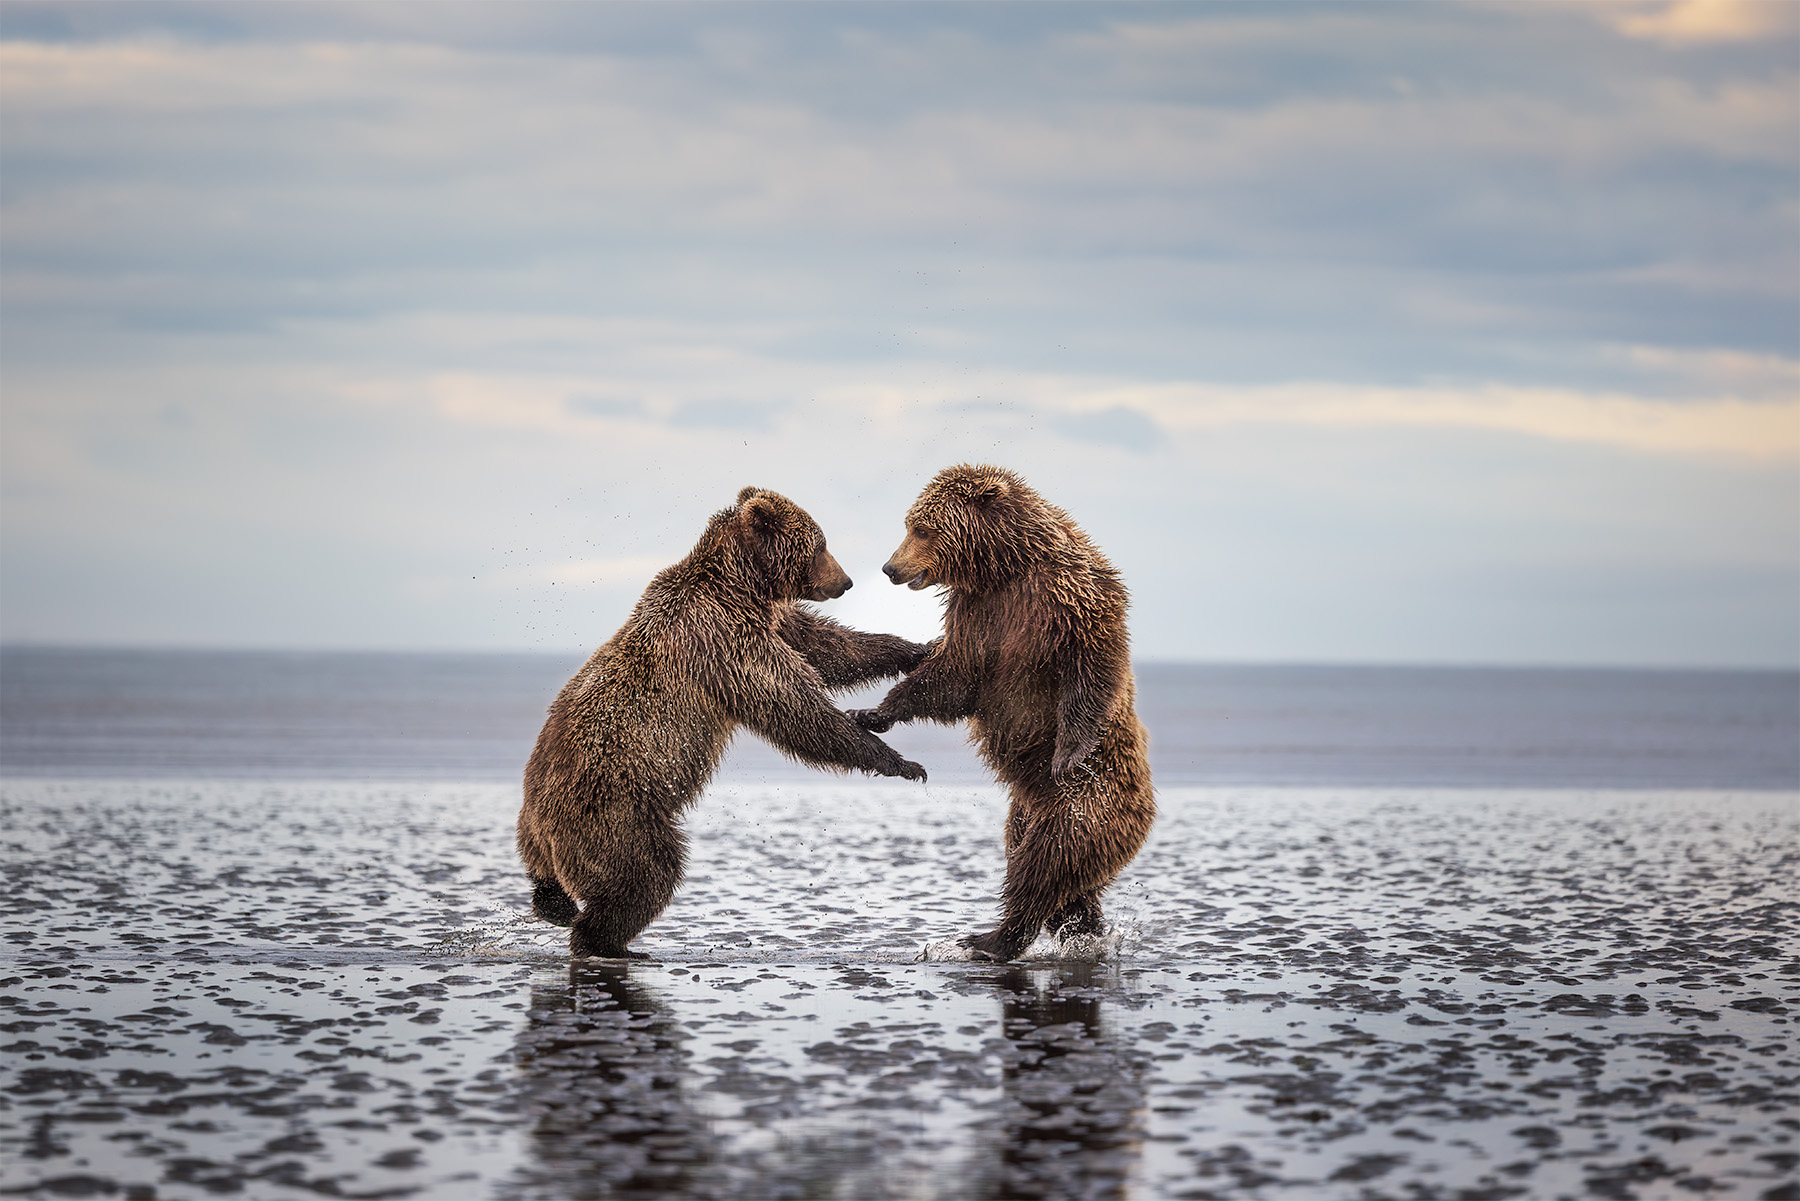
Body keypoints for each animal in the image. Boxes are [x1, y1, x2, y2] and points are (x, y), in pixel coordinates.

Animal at [519, 486, 930, 959]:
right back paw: (609, 943)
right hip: (616, 810)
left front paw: (916, 649)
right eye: (821, 544)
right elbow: (794, 703)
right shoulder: (722, 639)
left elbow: (829, 647)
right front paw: (901, 762)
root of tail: (538, 819)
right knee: (645, 872)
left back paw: (558, 908)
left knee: (552, 882)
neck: (740, 584)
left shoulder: (769, 620)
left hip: (548, 830)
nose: (844, 582)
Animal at [850, 464, 1155, 962]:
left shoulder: (1067, 600)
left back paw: (990, 939)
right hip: (1024, 812)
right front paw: (872, 713)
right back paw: (1083, 929)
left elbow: (1090, 666)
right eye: (909, 525)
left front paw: (1068, 754)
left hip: (1089, 802)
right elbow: (953, 678)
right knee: (1050, 872)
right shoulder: (980, 615)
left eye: (922, 528)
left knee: (1049, 860)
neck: (1006, 568)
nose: (891, 568)